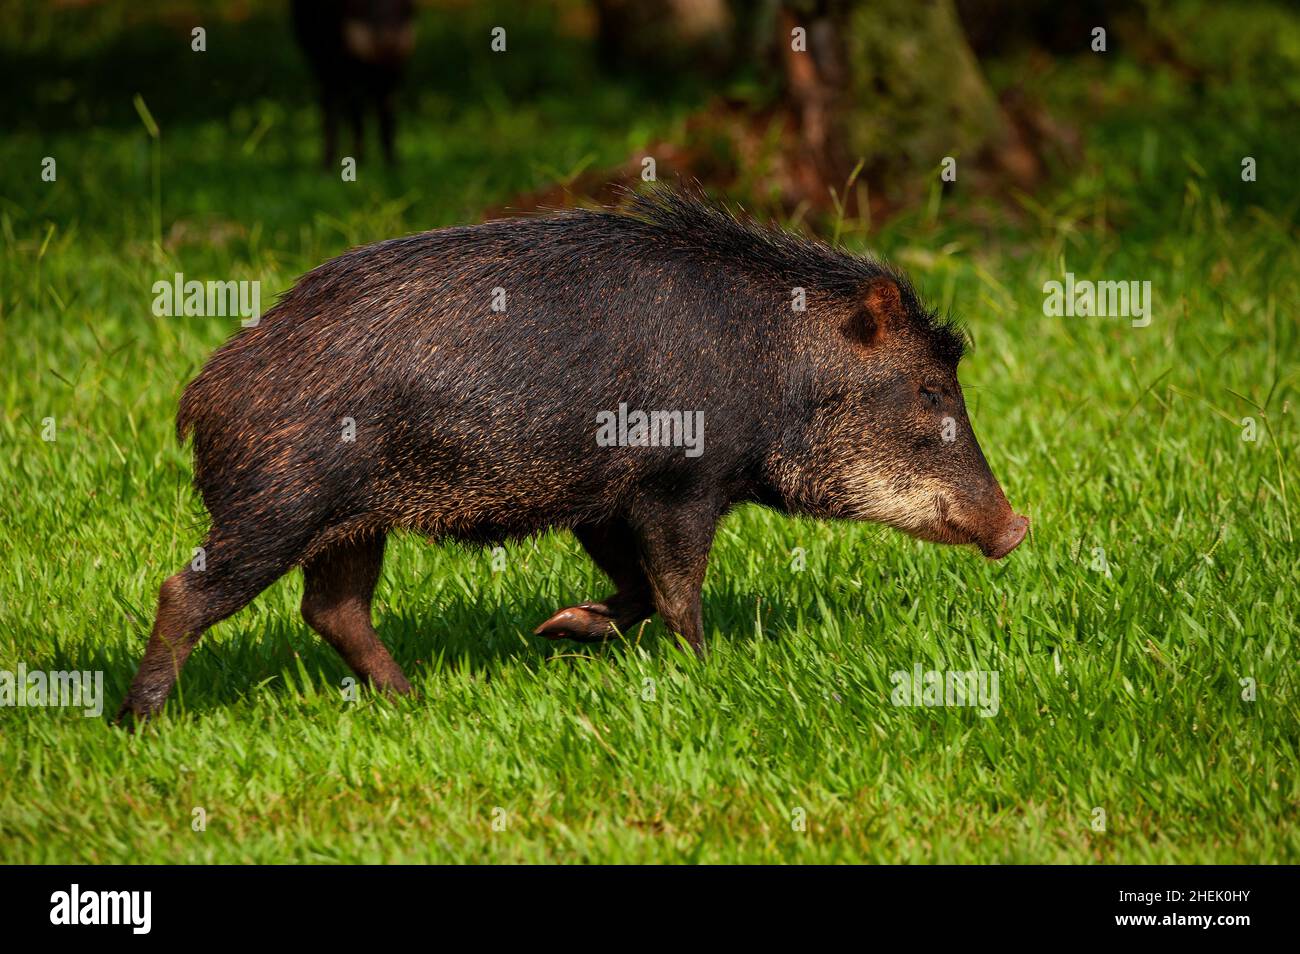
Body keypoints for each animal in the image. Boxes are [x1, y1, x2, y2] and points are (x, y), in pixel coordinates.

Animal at [117, 190, 1028, 722]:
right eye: (930, 391)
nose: (1017, 527)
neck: (780, 364)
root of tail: (199, 399)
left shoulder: (603, 503)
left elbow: (637, 587)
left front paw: (558, 628)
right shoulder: (678, 485)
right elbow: (677, 591)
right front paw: (706, 672)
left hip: (351, 525)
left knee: (333, 611)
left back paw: (415, 703)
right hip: (276, 507)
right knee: (185, 592)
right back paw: (139, 720)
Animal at [291, 0, 415, 168]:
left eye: (406, 4)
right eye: (362, 4)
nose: (388, 42)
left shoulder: (392, 73)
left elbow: (386, 115)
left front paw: (393, 167)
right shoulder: (329, 65)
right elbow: (334, 115)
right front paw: (327, 167)